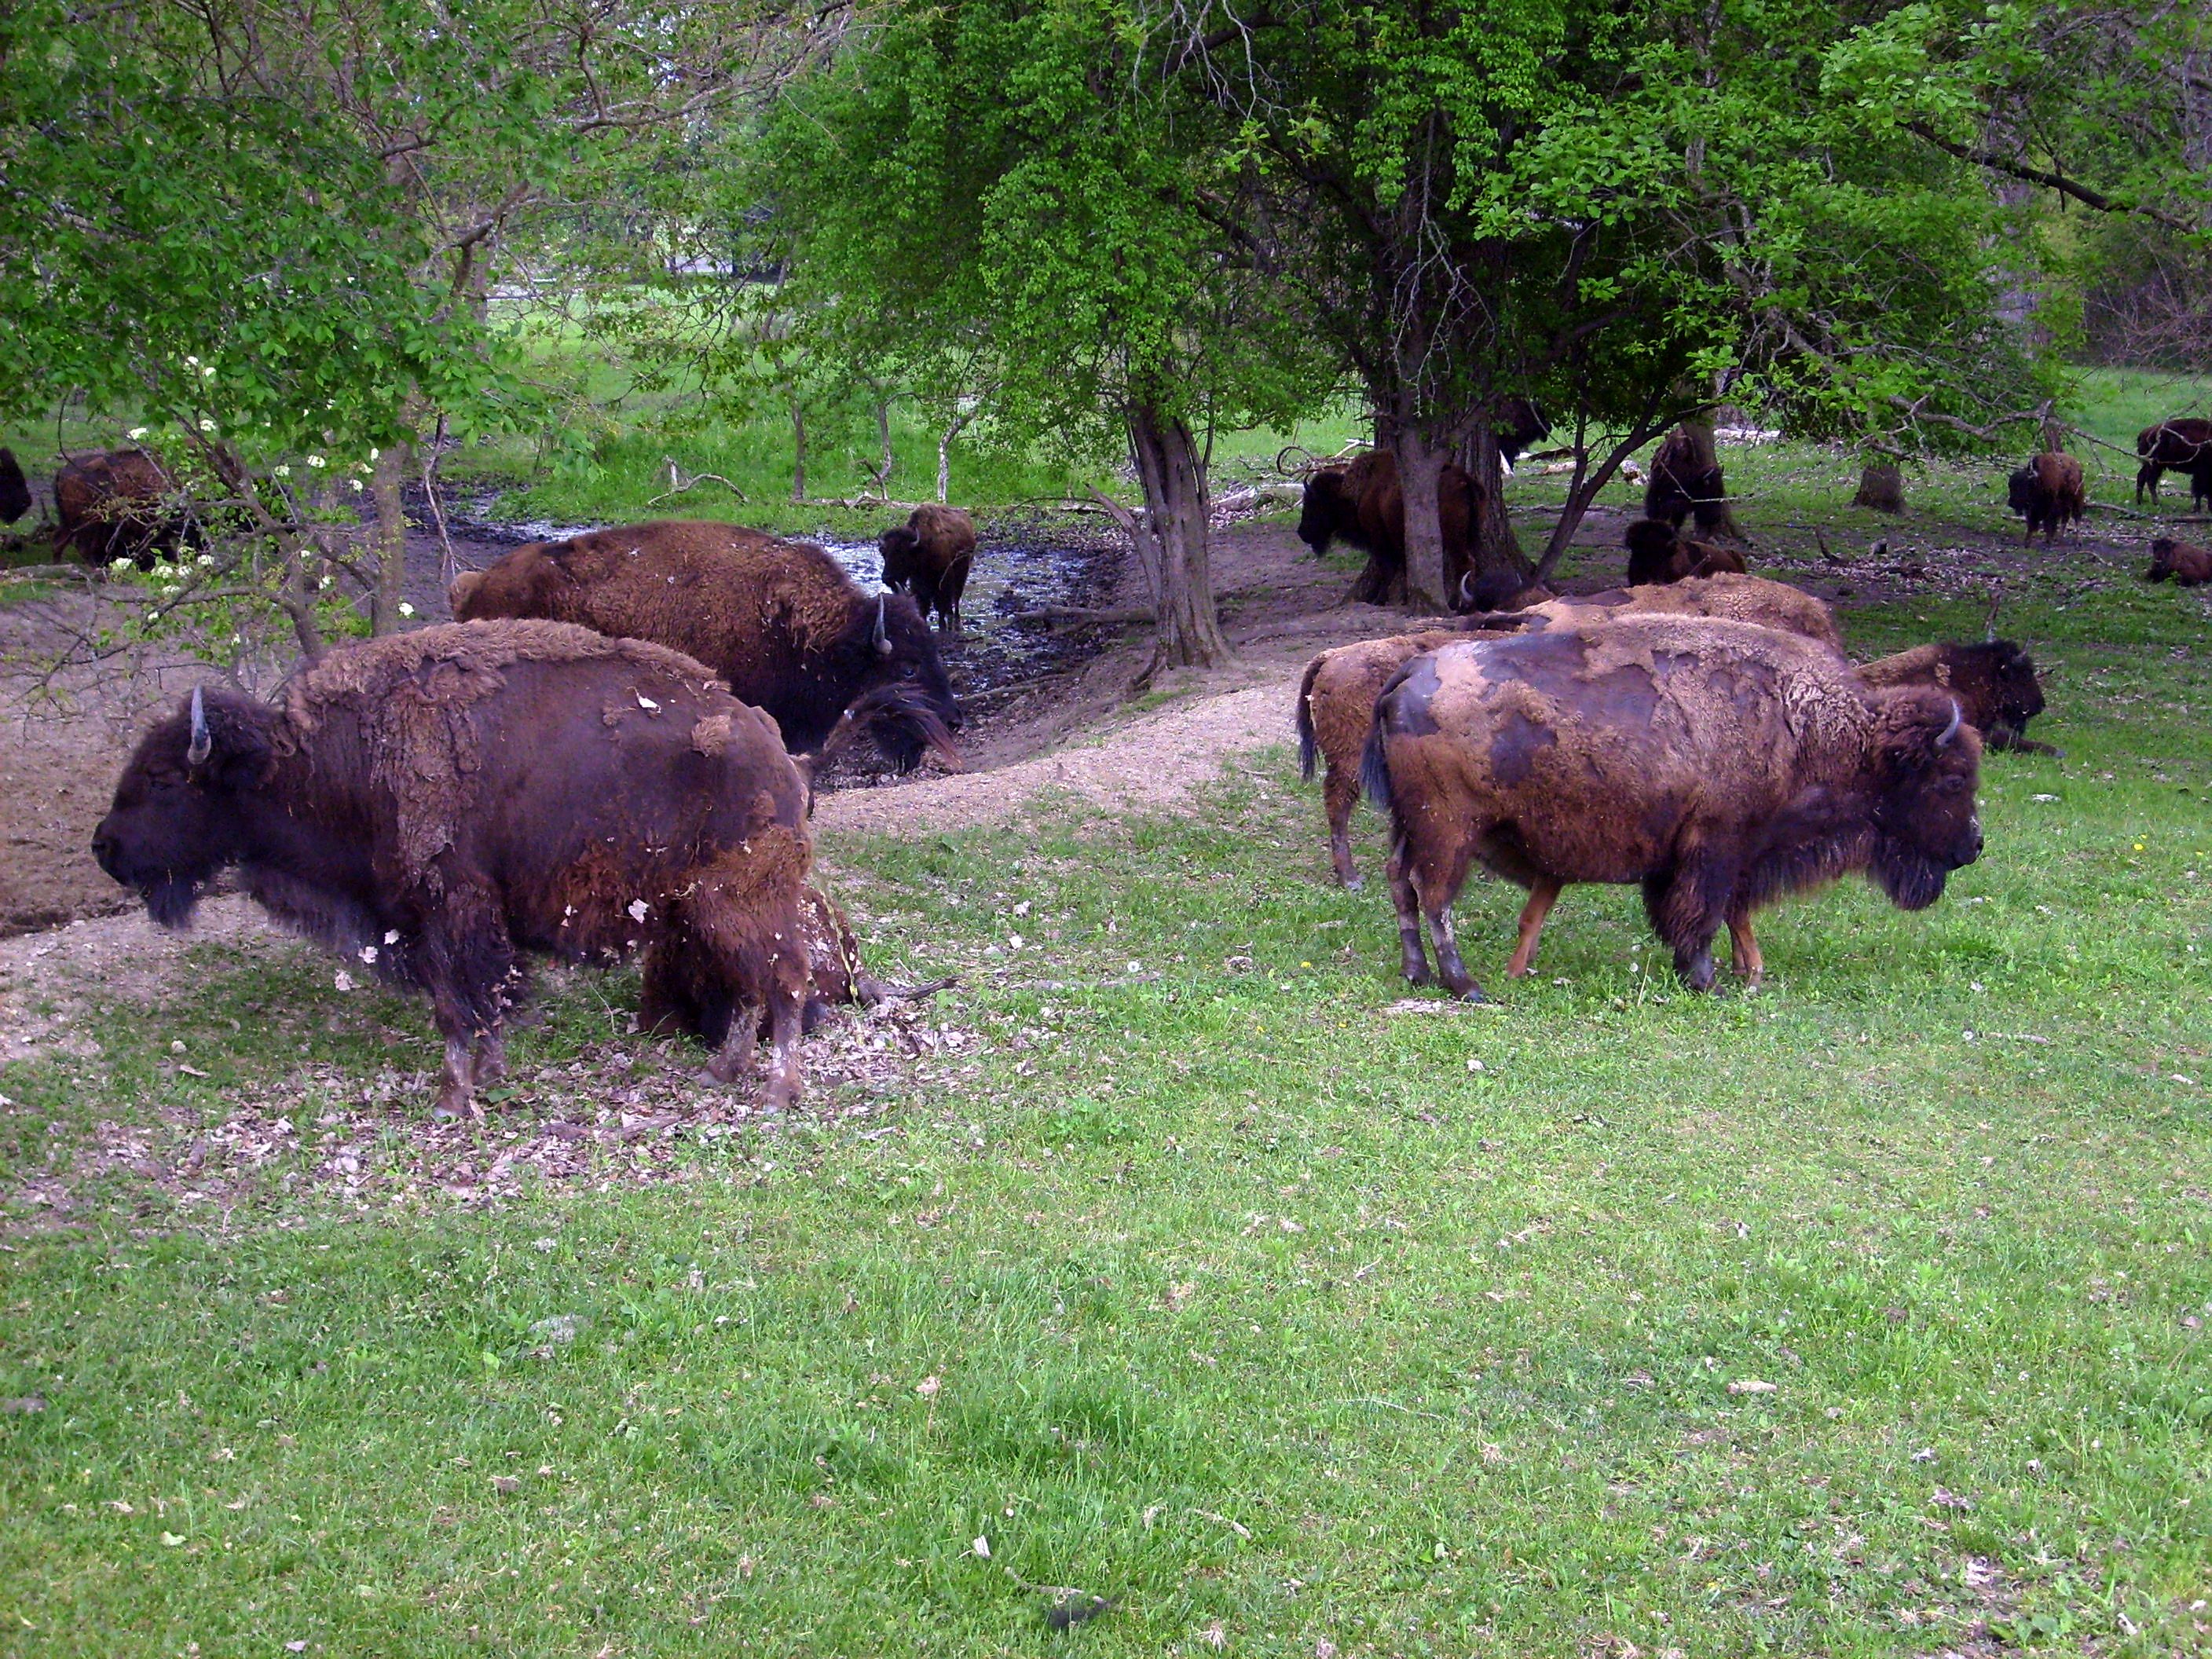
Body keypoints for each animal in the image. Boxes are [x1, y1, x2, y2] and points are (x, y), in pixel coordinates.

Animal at [92, 621, 817, 1118]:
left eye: (163, 780)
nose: (105, 848)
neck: (327, 768)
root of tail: (770, 741)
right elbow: (484, 999)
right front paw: (489, 1075)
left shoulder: (446, 910)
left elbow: (454, 1005)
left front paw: (451, 1098)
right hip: (706, 906)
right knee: (749, 982)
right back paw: (723, 1071)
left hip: (741, 896)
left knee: (783, 979)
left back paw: (778, 1092)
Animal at [1360, 616, 1982, 999]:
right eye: (1952, 779)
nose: (1975, 845)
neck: (1807, 726)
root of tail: (1409, 673)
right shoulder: (1717, 844)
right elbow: (1703, 912)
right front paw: (1708, 980)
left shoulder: (1722, 854)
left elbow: (1721, 910)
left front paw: (1734, 970)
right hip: (1448, 829)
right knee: (1434, 894)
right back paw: (1467, 986)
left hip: (1409, 825)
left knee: (1400, 885)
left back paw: (1416, 974)